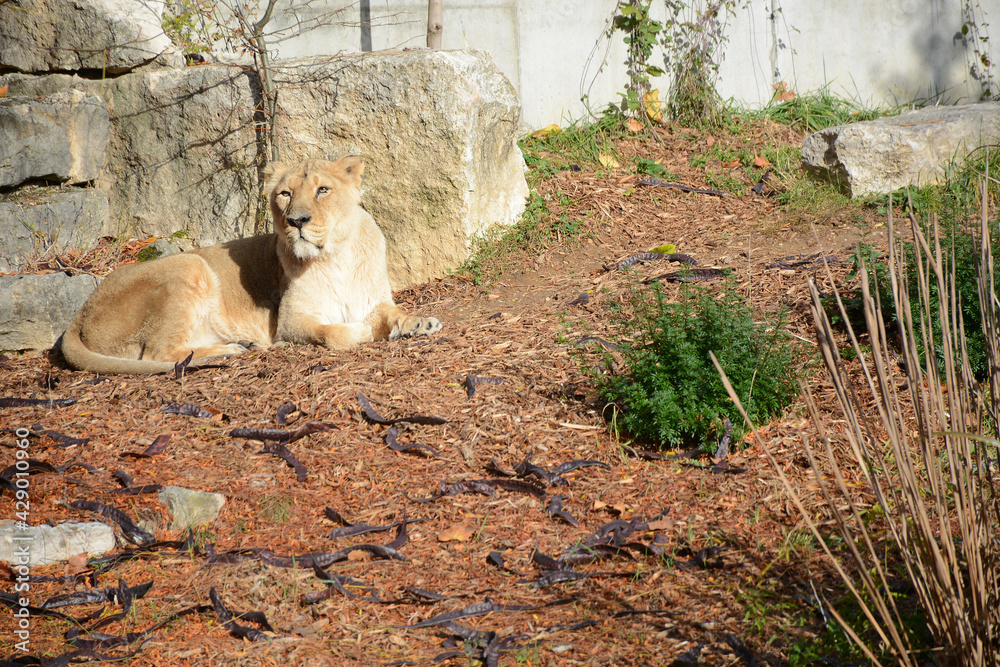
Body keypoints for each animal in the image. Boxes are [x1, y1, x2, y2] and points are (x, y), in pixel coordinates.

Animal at [60, 155, 442, 375]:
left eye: (322, 190)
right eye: (285, 194)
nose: (297, 221)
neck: (337, 255)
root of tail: (79, 313)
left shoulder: (375, 301)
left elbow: (395, 312)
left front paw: (420, 323)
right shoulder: (290, 322)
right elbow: (332, 332)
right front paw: (360, 331)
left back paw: (242, 346)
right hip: (189, 264)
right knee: (157, 354)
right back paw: (232, 350)